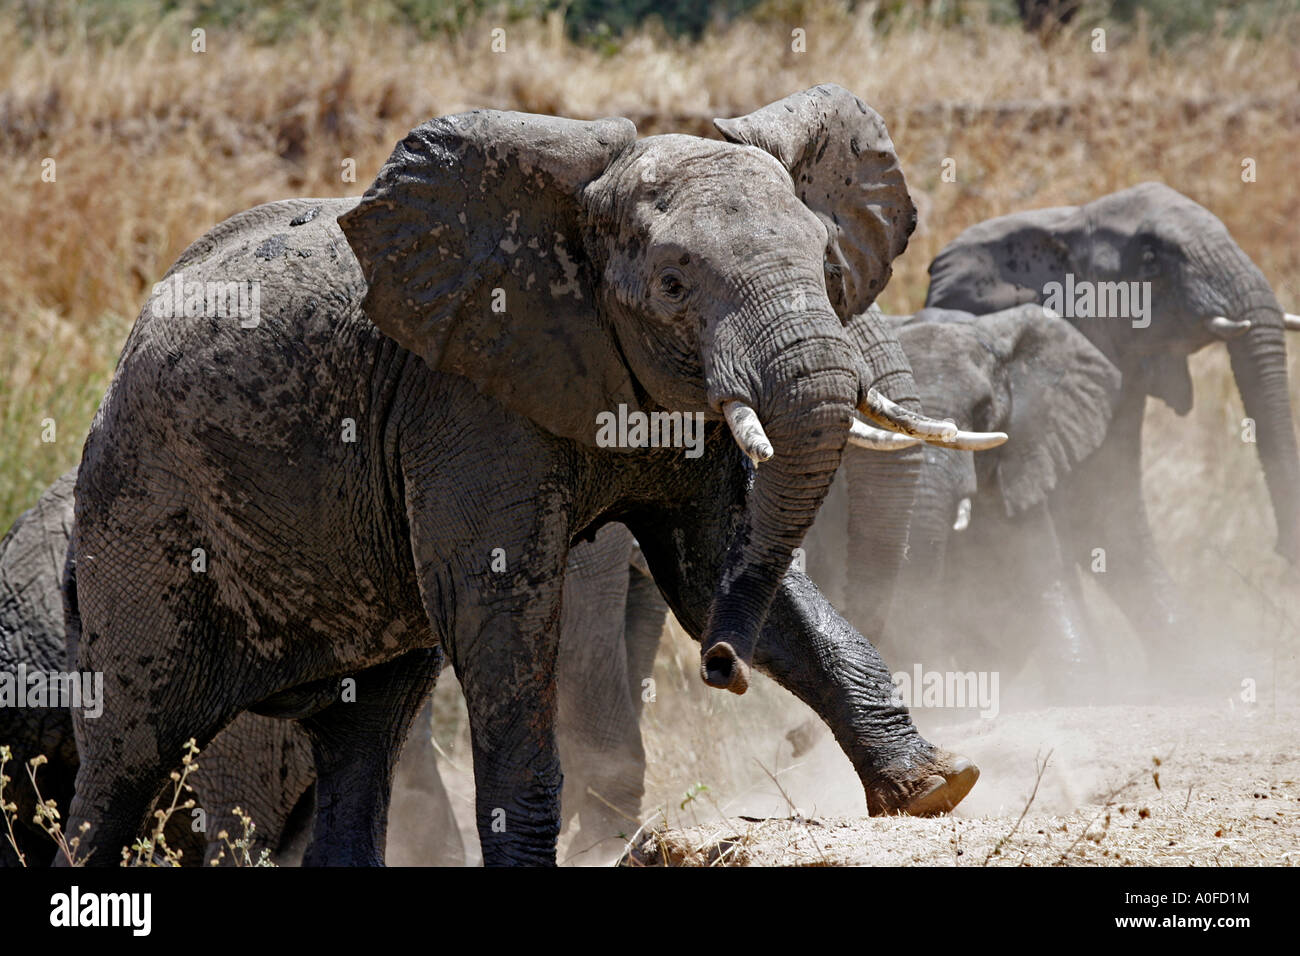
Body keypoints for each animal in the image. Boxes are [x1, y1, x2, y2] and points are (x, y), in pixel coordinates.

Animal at [64, 86, 990, 865]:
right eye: (673, 282)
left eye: (828, 266)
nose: (722, 666)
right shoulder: (463, 397)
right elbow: (501, 604)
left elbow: (708, 568)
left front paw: (937, 788)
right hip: (138, 517)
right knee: (128, 749)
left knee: (365, 732)